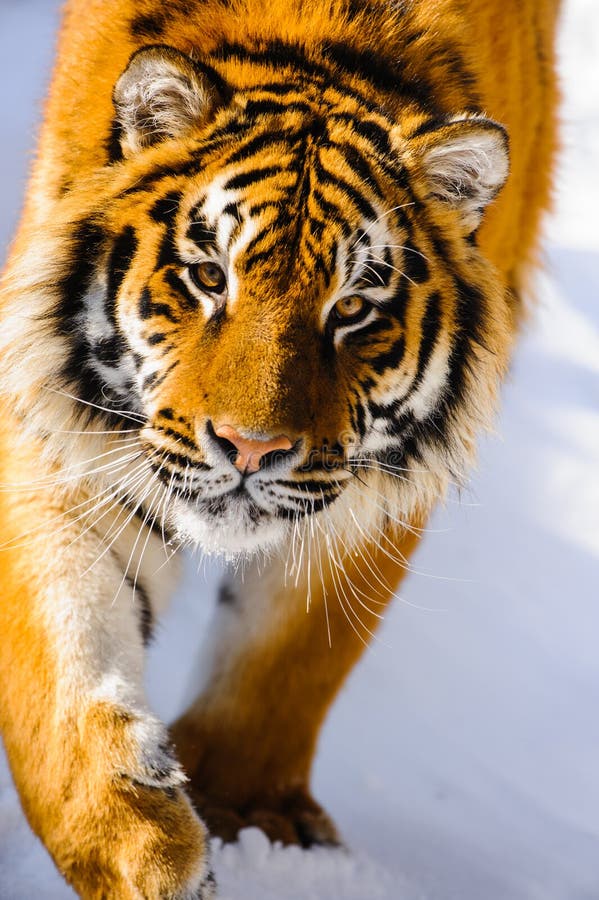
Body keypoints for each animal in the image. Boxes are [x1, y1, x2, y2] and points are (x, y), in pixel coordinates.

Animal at [0, 0, 560, 897]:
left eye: (353, 308)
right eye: (208, 277)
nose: (249, 448)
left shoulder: (375, 492)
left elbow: (292, 656)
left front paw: (244, 815)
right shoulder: (71, 435)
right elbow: (54, 656)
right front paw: (139, 845)